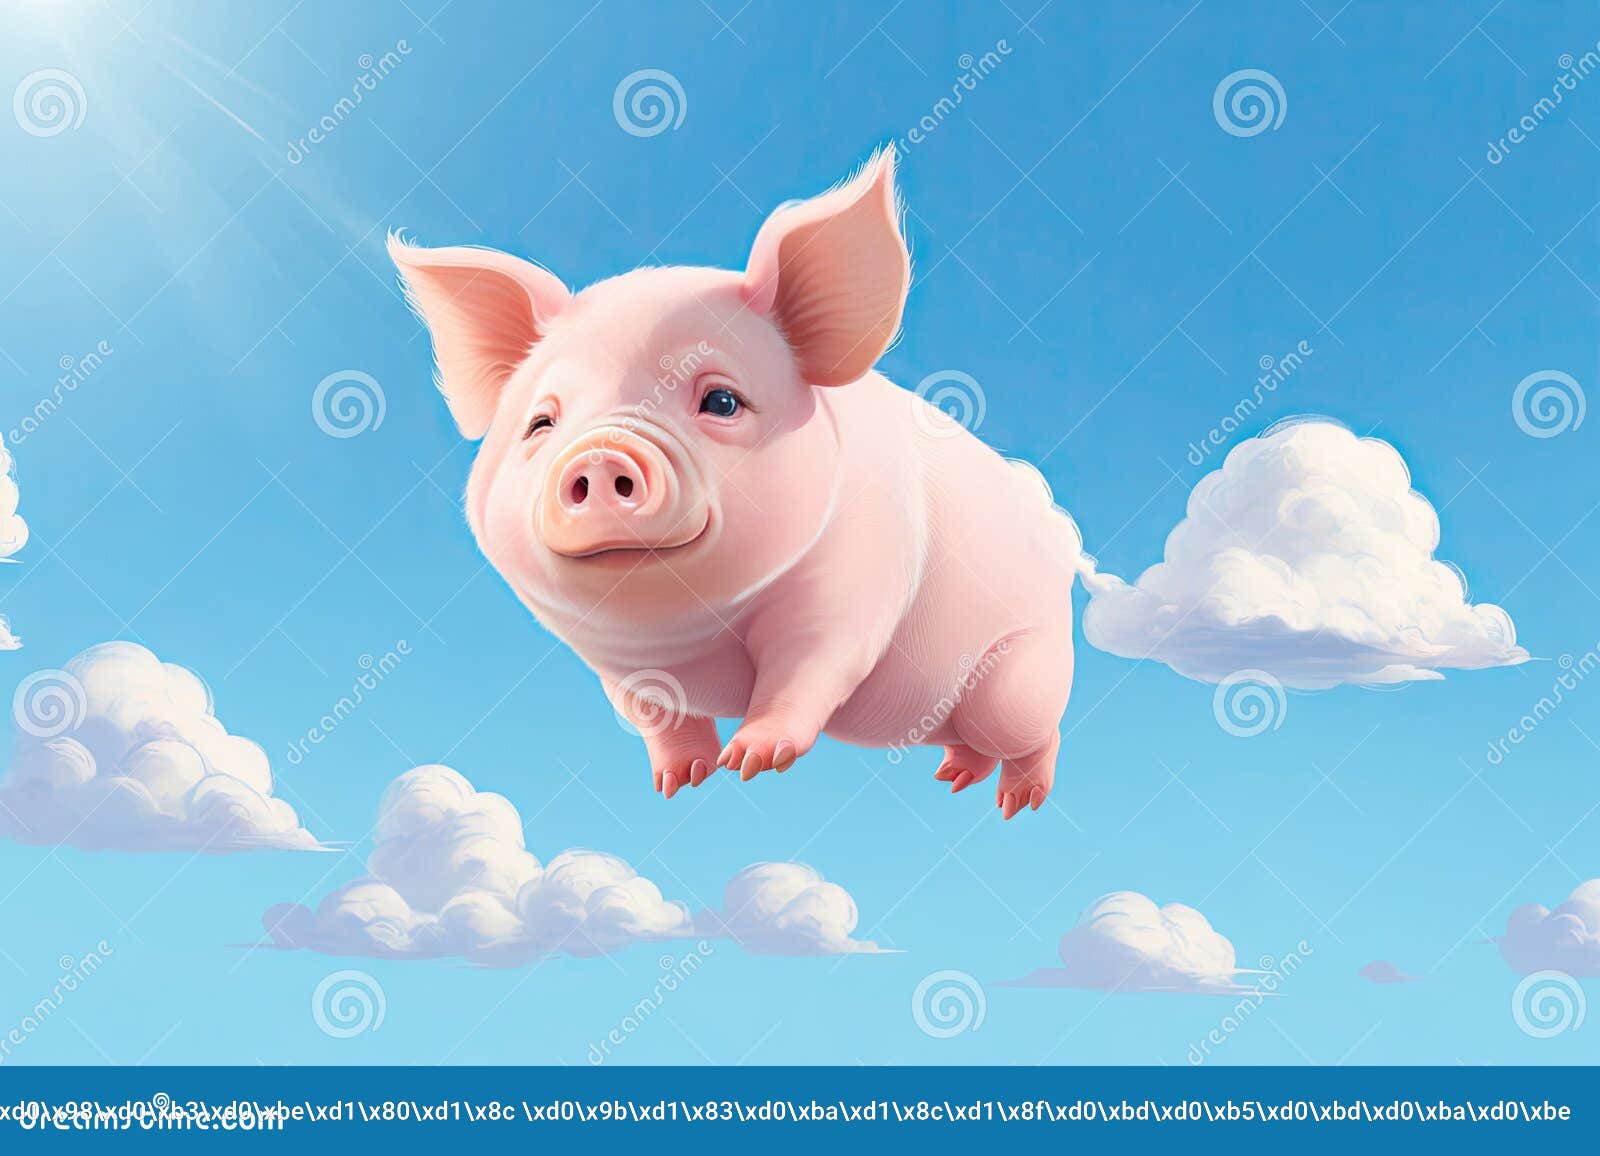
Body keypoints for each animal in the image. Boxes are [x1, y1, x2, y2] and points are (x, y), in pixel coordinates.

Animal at [389, 149, 1078, 820]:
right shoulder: (615, 665)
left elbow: (808, 668)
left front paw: (751, 762)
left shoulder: (852, 591)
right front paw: (678, 783)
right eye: (542, 423)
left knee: (1036, 732)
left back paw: (1017, 803)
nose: (600, 454)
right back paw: (955, 778)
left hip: (1022, 672)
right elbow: (654, 715)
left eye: (721, 400)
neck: (691, 635)